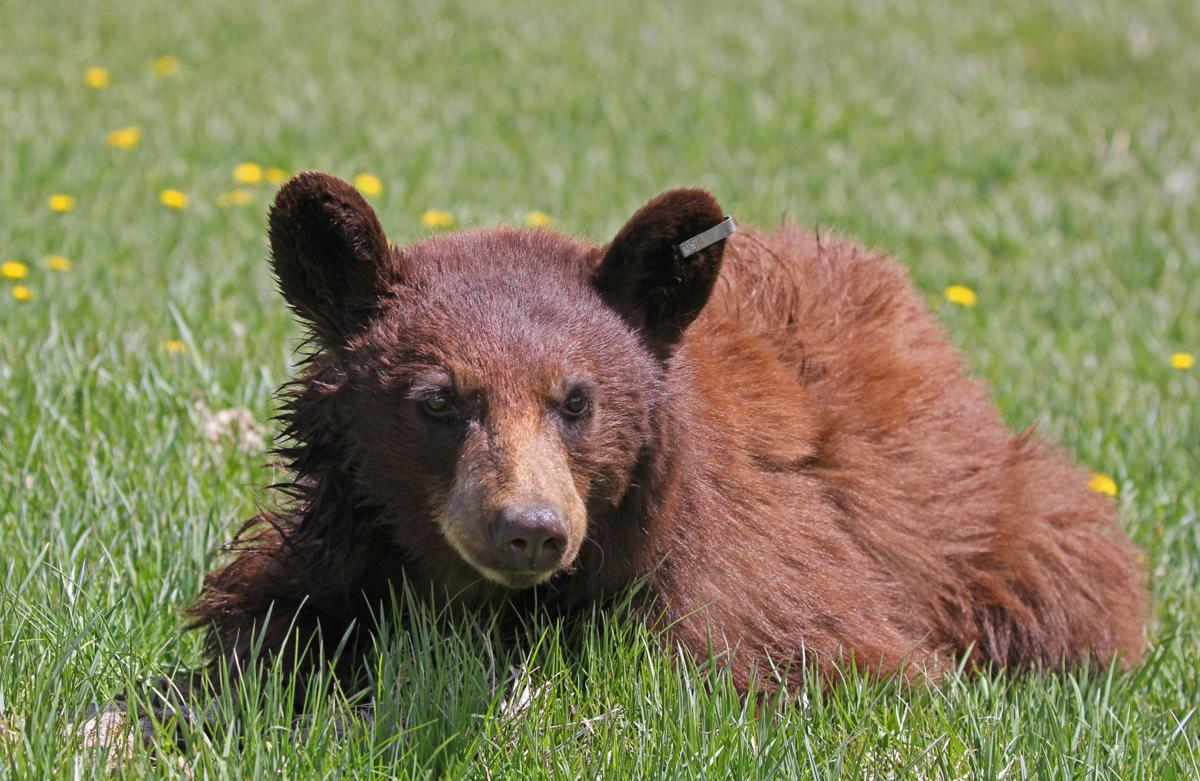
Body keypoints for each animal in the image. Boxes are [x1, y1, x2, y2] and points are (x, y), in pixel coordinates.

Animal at [188, 171, 1148, 694]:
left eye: (576, 399)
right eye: (439, 400)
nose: (529, 529)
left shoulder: (751, 563)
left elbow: (820, 651)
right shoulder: (336, 556)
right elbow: (261, 634)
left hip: (997, 525)